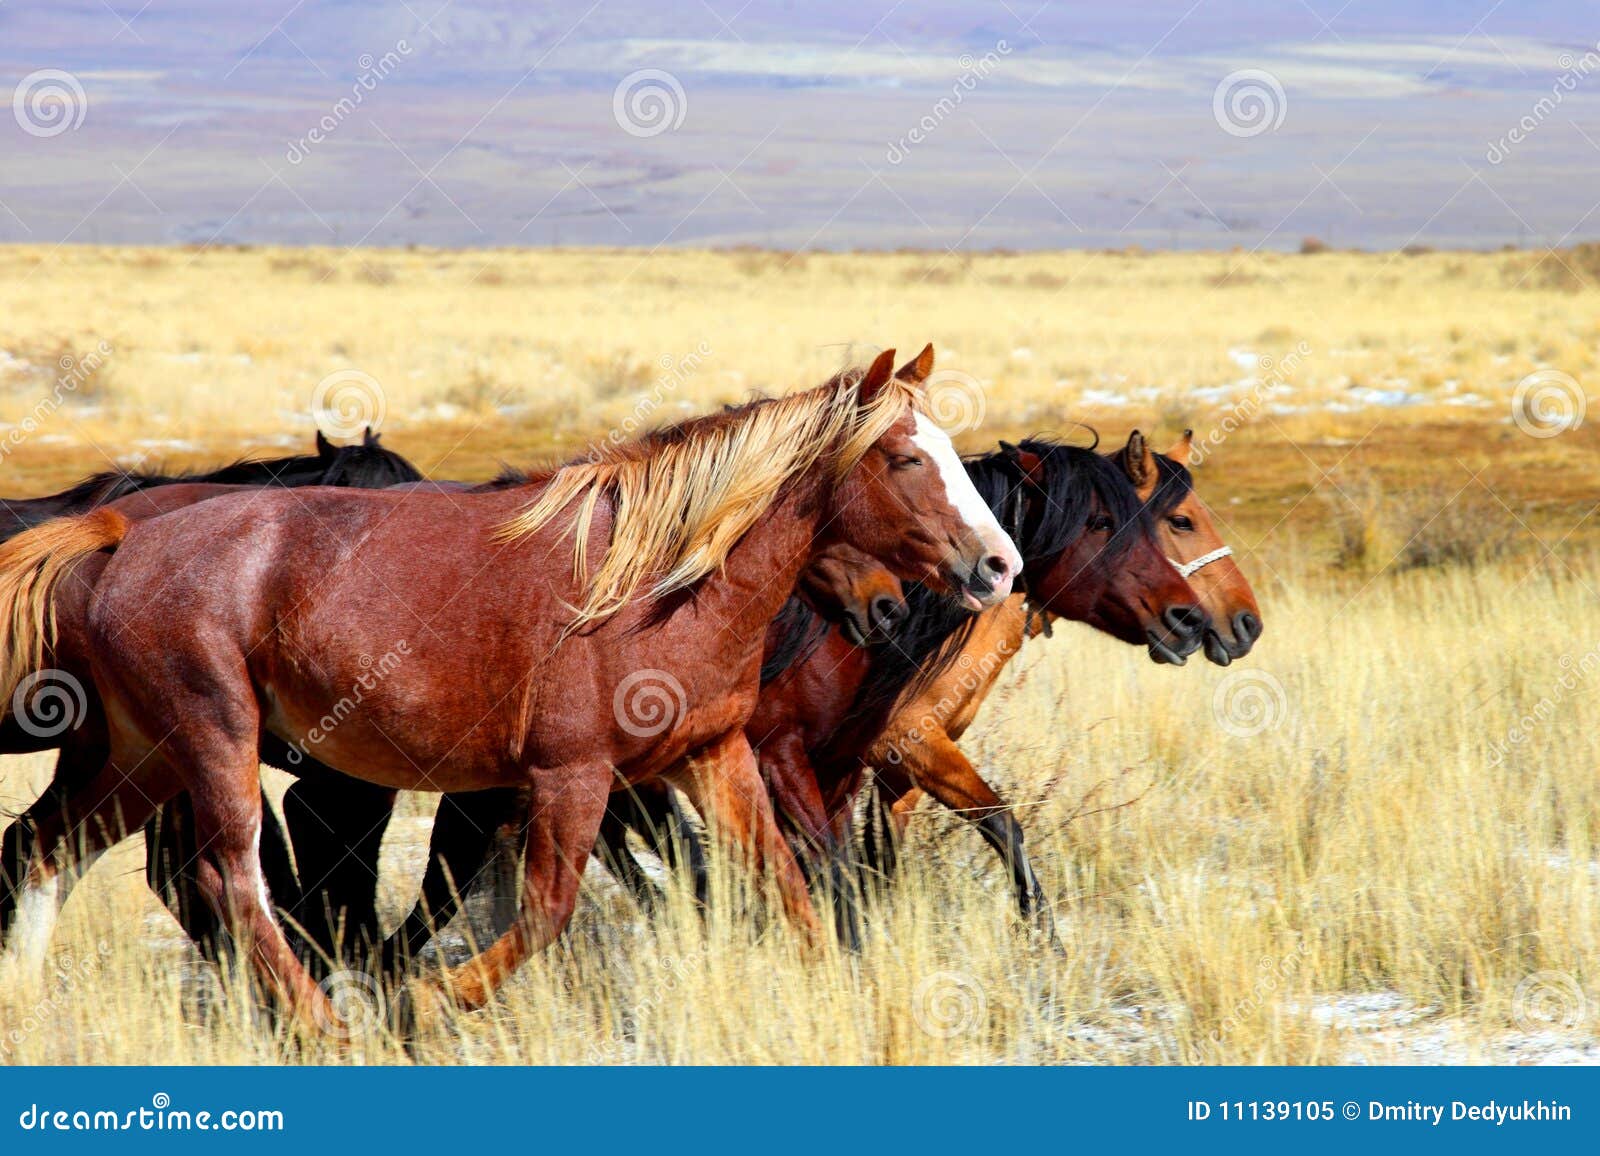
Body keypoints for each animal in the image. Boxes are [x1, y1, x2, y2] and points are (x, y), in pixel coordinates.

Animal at [0, 347, 1021, 1031]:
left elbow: (788, 893)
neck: (653, 587)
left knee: (48, 848)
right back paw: (327, 1025)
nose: (998, 564)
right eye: (905, 458)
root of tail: (119, 535)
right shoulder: (571, 775)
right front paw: (424, 1003)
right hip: (216, 738)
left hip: (139, 754)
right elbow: (545, 911)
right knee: (230, 879)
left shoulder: (711, 756)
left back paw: (26, 1001)